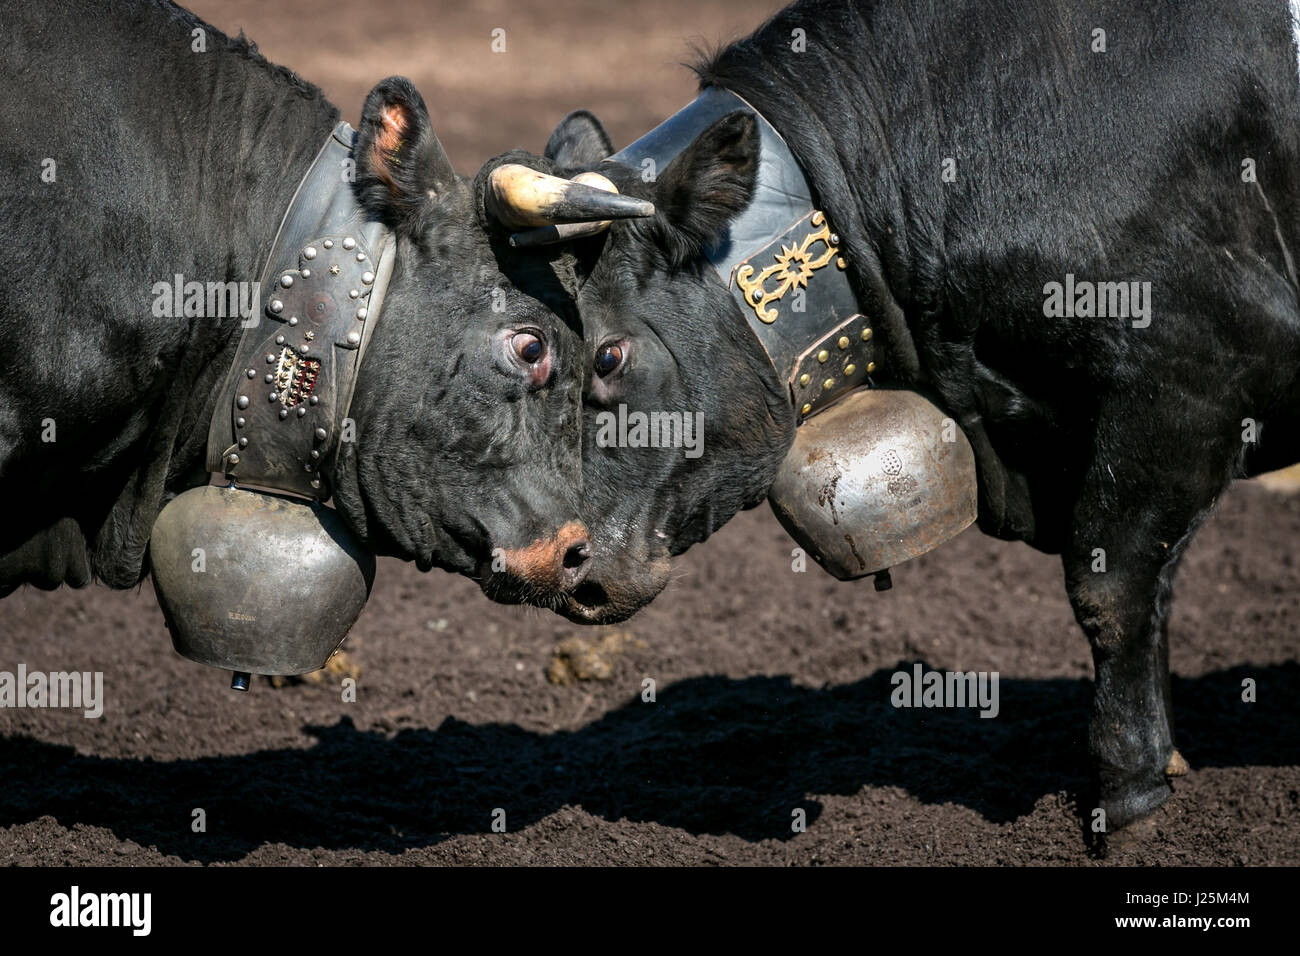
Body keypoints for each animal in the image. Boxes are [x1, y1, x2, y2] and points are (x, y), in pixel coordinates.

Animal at [498, 0, 1300, 832]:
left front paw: (1129, 791)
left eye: (608, 356)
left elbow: (1110, 588)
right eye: (533, 349)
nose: (559, 564)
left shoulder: (1192, 374)